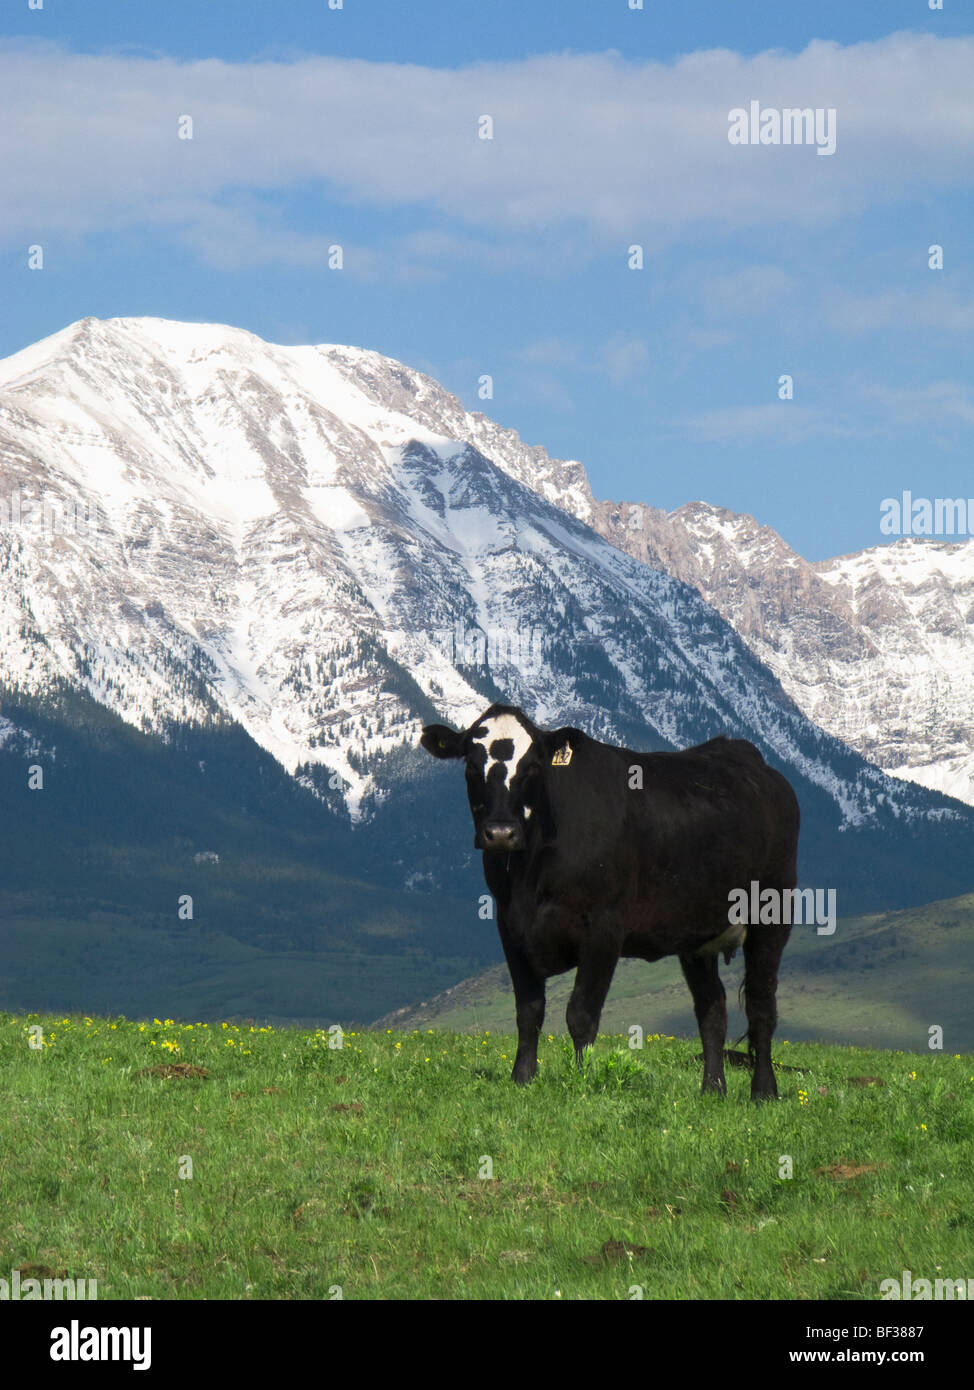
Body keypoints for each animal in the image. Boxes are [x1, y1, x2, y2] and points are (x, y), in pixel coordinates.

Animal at [421, 702, 800, 1101]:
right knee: (712, 1008)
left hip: (773, 910)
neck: (531, 875)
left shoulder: (604, 926)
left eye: (533, 766)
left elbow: (581, 1014)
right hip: (697, 933)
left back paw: (764, 1091)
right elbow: (528, 1010)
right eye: (469, 765)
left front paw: (582, 1082)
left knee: (761, 1003)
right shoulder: (509, 925)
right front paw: (522, 1078)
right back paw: (712, 1089)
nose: (500, 833)